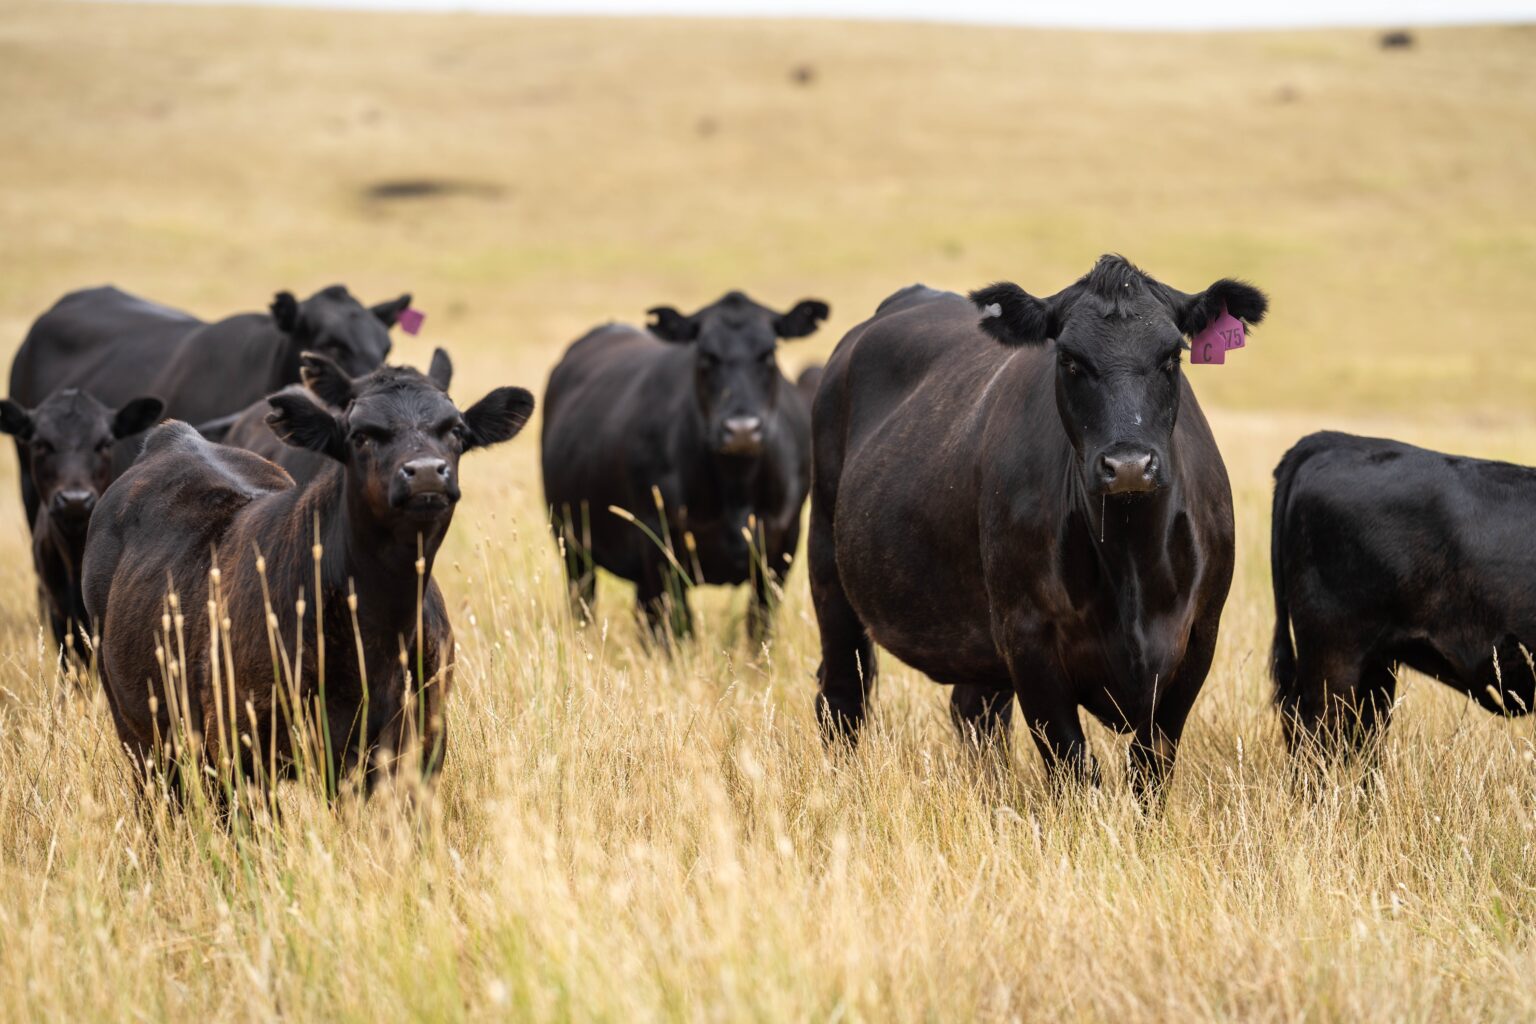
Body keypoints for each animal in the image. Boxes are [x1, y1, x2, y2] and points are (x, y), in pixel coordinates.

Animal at [541, 291, 828, 643]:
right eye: (705, 355)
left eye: (768, 353)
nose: (741, 430)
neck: (736, 487)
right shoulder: (657, 539)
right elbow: (678, 627)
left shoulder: (782, 542)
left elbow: (758, 625)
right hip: (571, 543)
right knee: (586, 604)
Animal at [808, 255, 1266, 801]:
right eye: (1069, 359)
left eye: (1171, 356)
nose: (1129, 465)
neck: (1131, 559)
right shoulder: (1028, 638)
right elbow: (1074, 769)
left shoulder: (1199, 638)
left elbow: (1150, 767)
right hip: (828, 569)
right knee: (842, 699)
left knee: (975, 713)